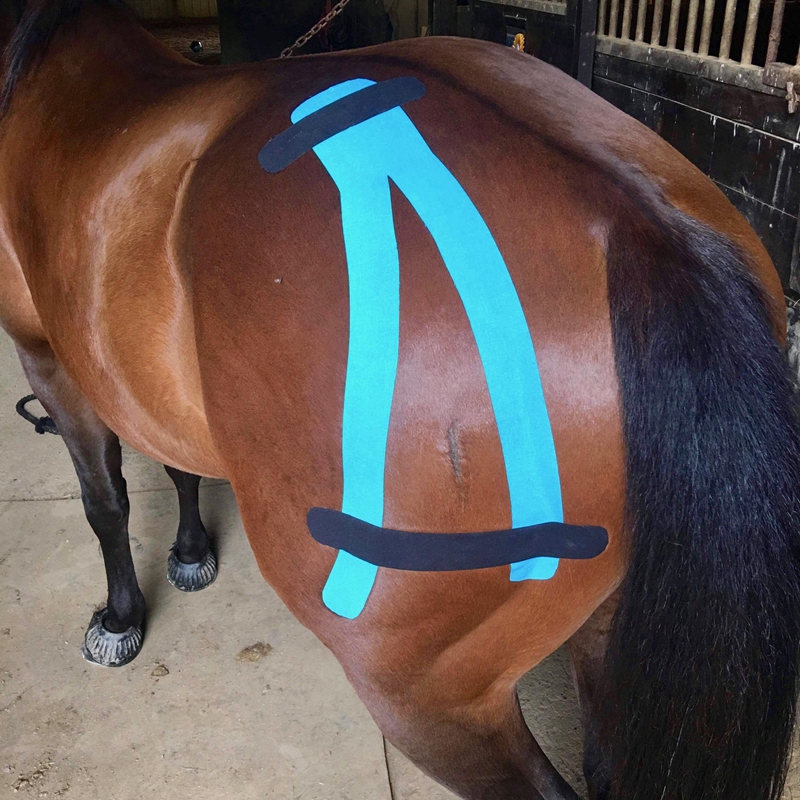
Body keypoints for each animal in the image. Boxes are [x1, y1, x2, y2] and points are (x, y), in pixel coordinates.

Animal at [2, 2, 800, 799]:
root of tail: (638, 225)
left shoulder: (45, 354)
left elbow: (105, 501)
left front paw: (120, 619)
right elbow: (175, 464)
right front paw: (192, 554)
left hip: (432, 697)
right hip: (613, 641)